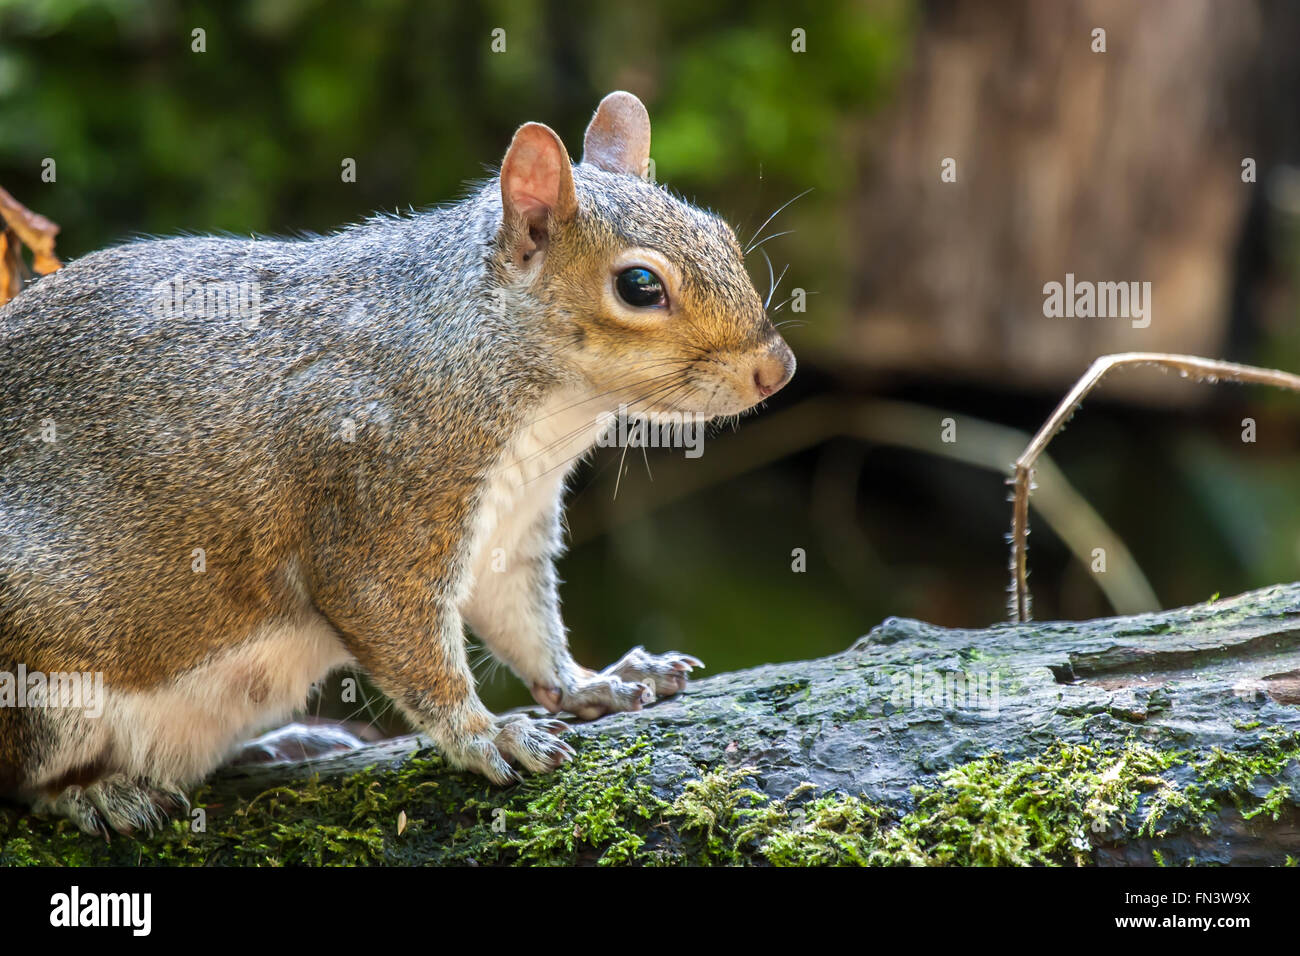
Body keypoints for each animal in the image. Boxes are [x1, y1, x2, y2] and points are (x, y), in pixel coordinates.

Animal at [0, 91, 795, 836]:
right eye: (639, 286)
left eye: (721, 233)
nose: (777, 370)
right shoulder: (379, 503)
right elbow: (402, 637)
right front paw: (486, 736)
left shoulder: (509, 528)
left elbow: (524, 624)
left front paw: (591, 682)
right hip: (39, 667)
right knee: (26, 781)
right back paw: (96, 793)